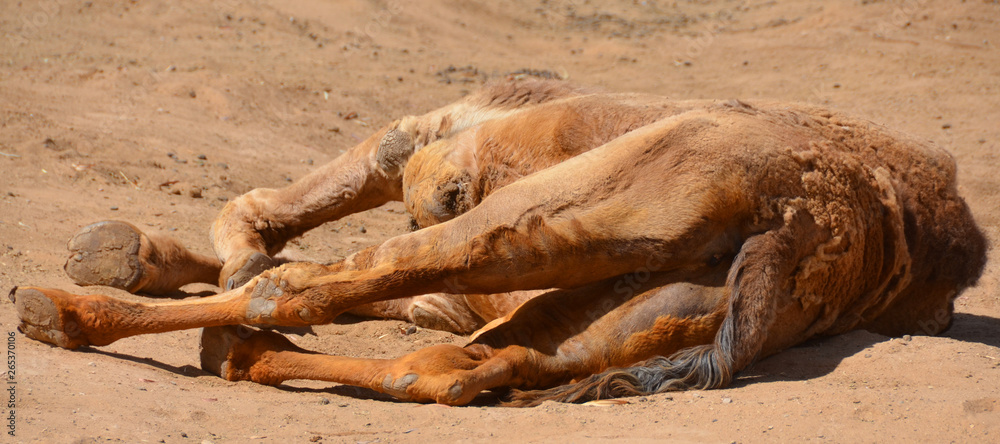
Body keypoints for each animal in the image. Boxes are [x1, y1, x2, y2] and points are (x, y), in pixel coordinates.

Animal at [9, 79, 986, 406]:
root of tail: (805, 224)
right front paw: (127, 250)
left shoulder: (436, 157)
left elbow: (270, 228)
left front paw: (120, 255)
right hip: (630, 313)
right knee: (459, 371)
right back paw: (235, 352)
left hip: (555, 218)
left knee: (313, 283)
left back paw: (66, 314)